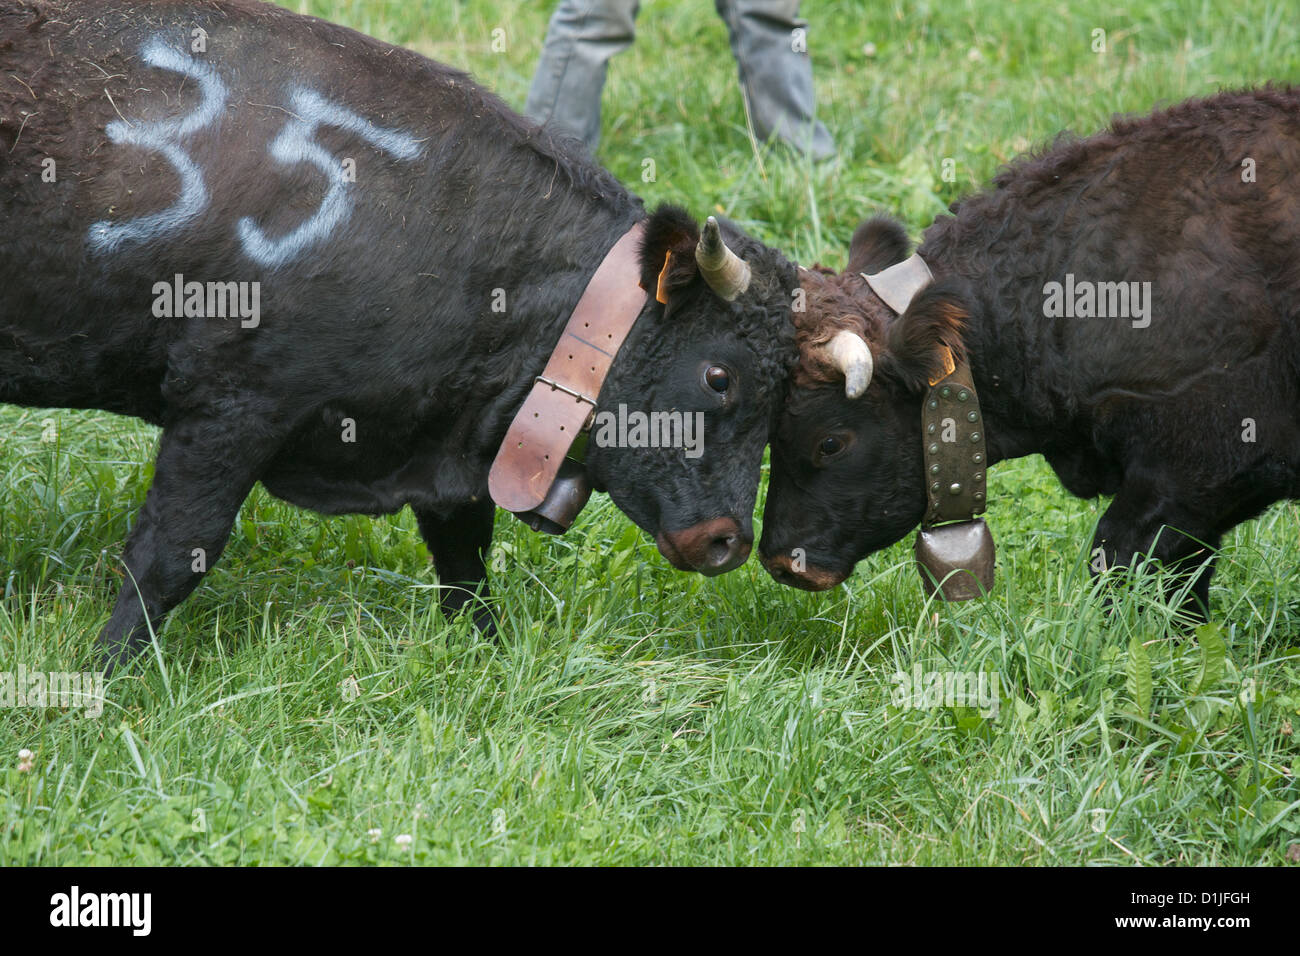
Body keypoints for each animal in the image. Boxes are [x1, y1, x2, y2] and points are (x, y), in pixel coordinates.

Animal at [0, 0, 798, 668]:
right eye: (719, 376)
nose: (729, 540)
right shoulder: (230, 406)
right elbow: (171, 552)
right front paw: (107, 671)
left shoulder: (449, 449)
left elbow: (465, 564)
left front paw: (489, 658)